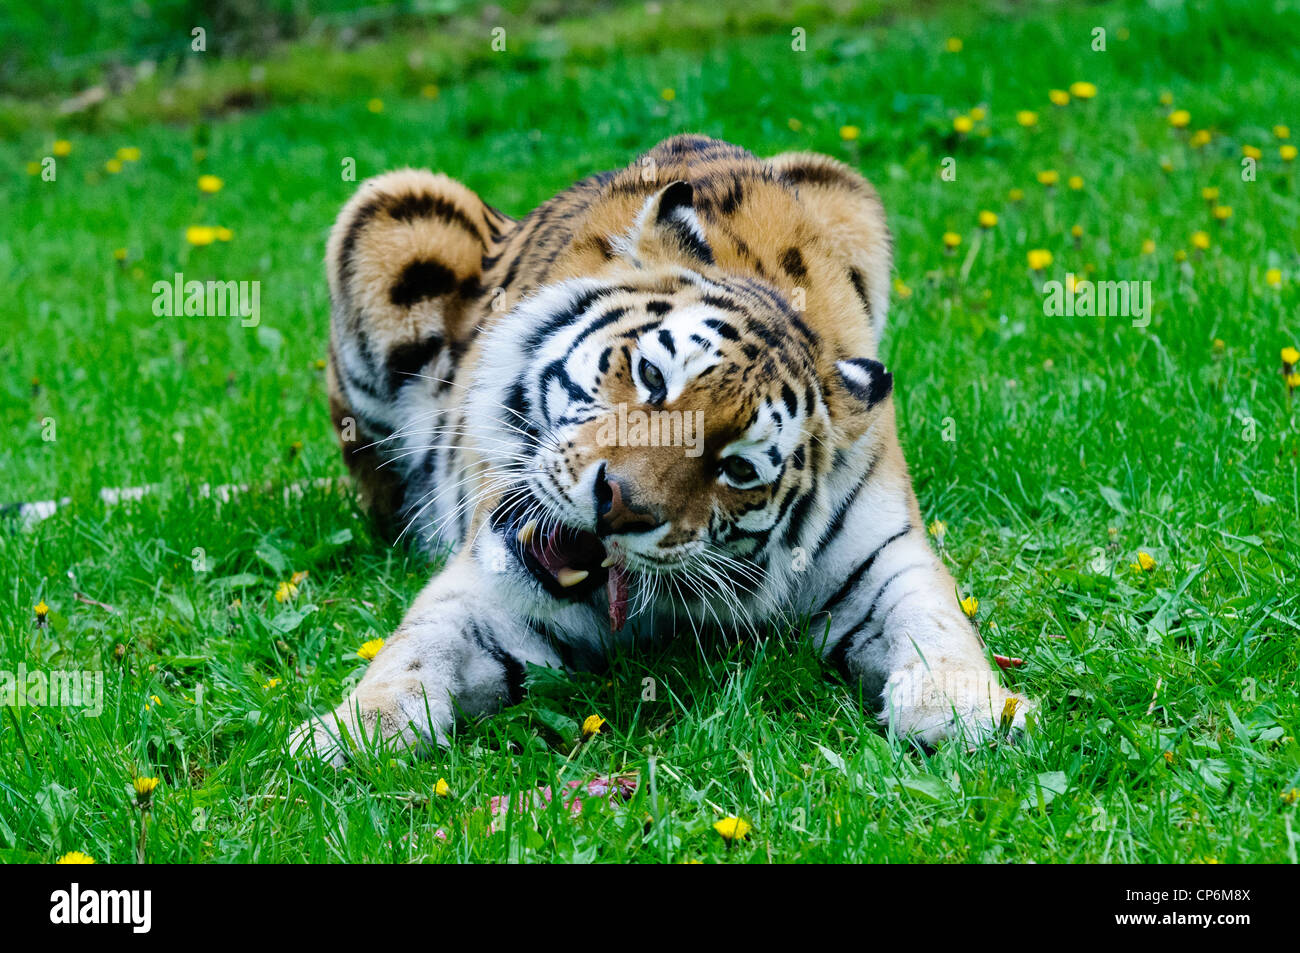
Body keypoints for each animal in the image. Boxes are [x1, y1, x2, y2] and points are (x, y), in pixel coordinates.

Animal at [293, 134, 1031, 764]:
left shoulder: (883, 553)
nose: (616, 504)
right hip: (395, 212)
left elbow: (937, 619)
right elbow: (416, 648)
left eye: (736, 469)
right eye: (651, 377)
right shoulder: (487, 590)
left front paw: (966, 708)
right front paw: (343, 736)